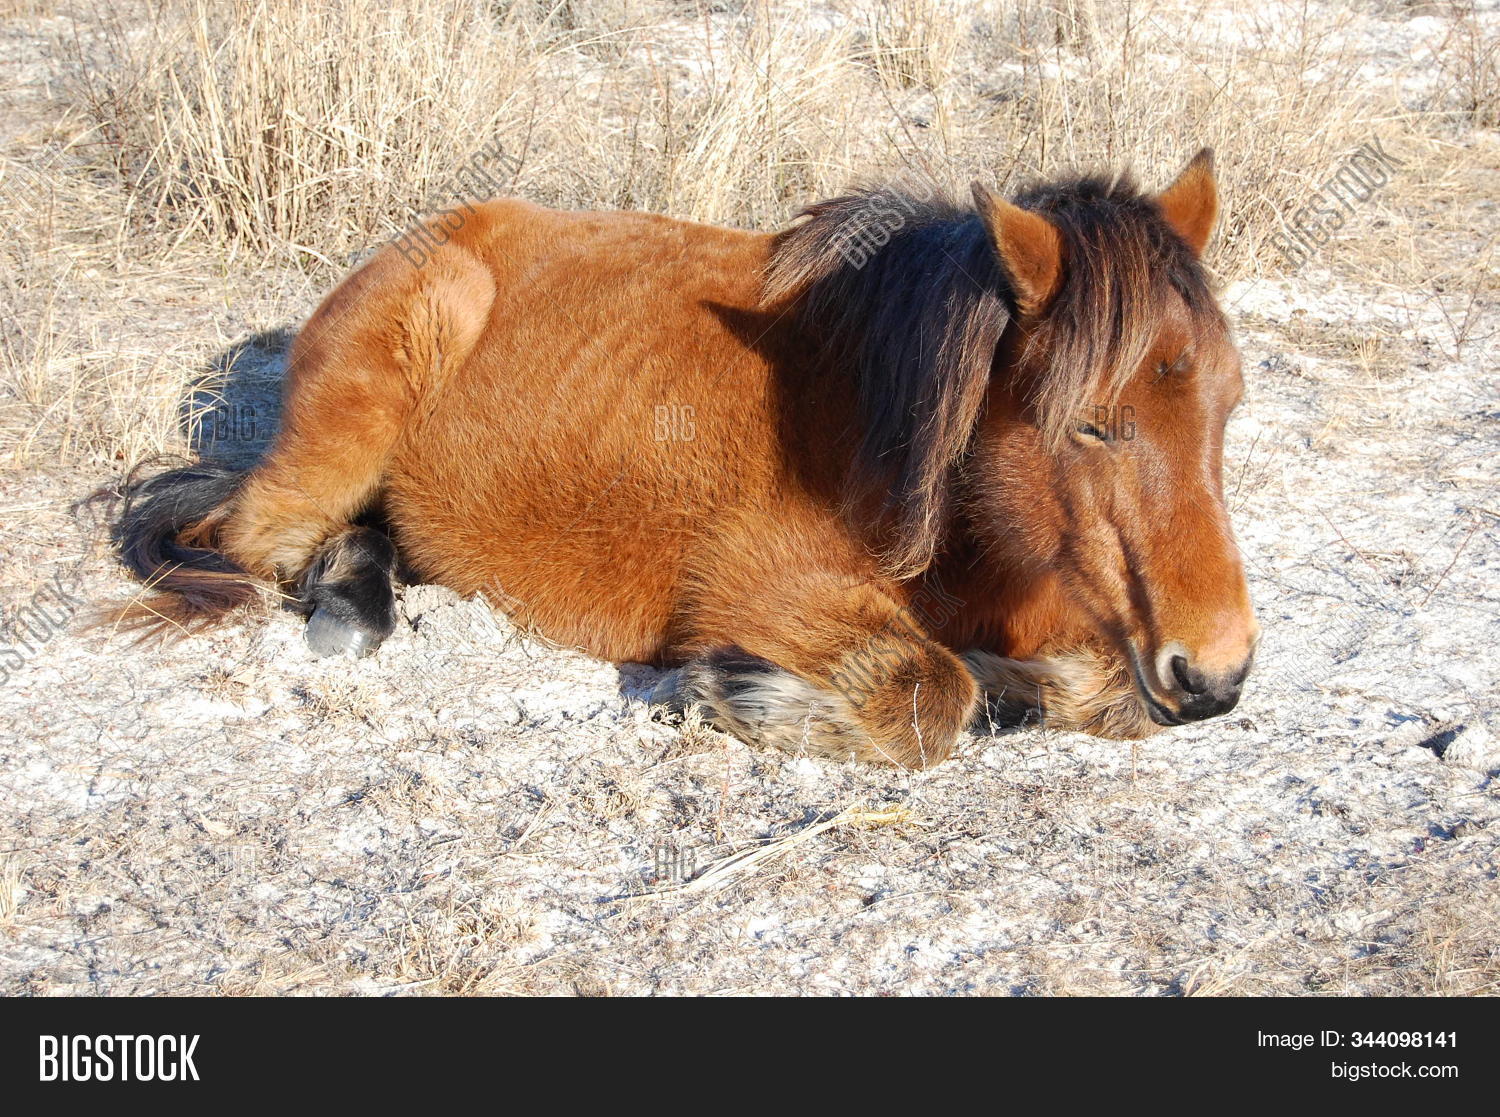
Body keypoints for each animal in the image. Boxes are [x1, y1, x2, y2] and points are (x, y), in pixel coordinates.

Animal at [107, 148, 1257, 768]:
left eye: (1227, 404)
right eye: (1092, 424)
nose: (1217, 676)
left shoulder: (1097, 620)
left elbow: (1103, 689)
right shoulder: (758, 585)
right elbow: (929, 689)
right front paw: (742, 692)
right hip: (361, 411)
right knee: (264, 535)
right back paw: (351, 599)